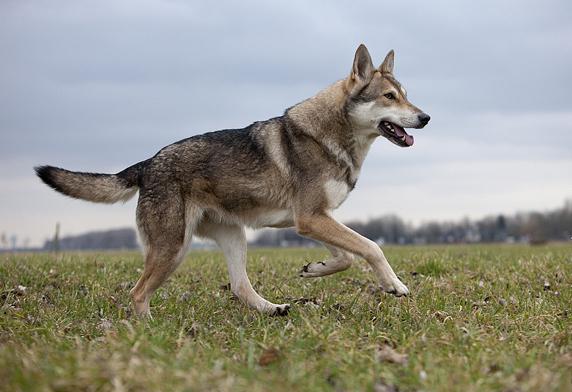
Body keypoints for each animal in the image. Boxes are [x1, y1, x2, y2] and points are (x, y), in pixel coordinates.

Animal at [35, 44, 428, 316]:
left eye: (406, 96)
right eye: (390, 97)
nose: (426, 117)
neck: (333, 137)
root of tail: (147, 163)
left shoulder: (313, 220)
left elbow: (347, 255)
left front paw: (314, 269)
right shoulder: (311, 218)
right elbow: (371, 246)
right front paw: (394, 285)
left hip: (232, 237)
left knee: (239, 287)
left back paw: (274, 309)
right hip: (174, 249)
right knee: (137, 292)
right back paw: (147, 331)